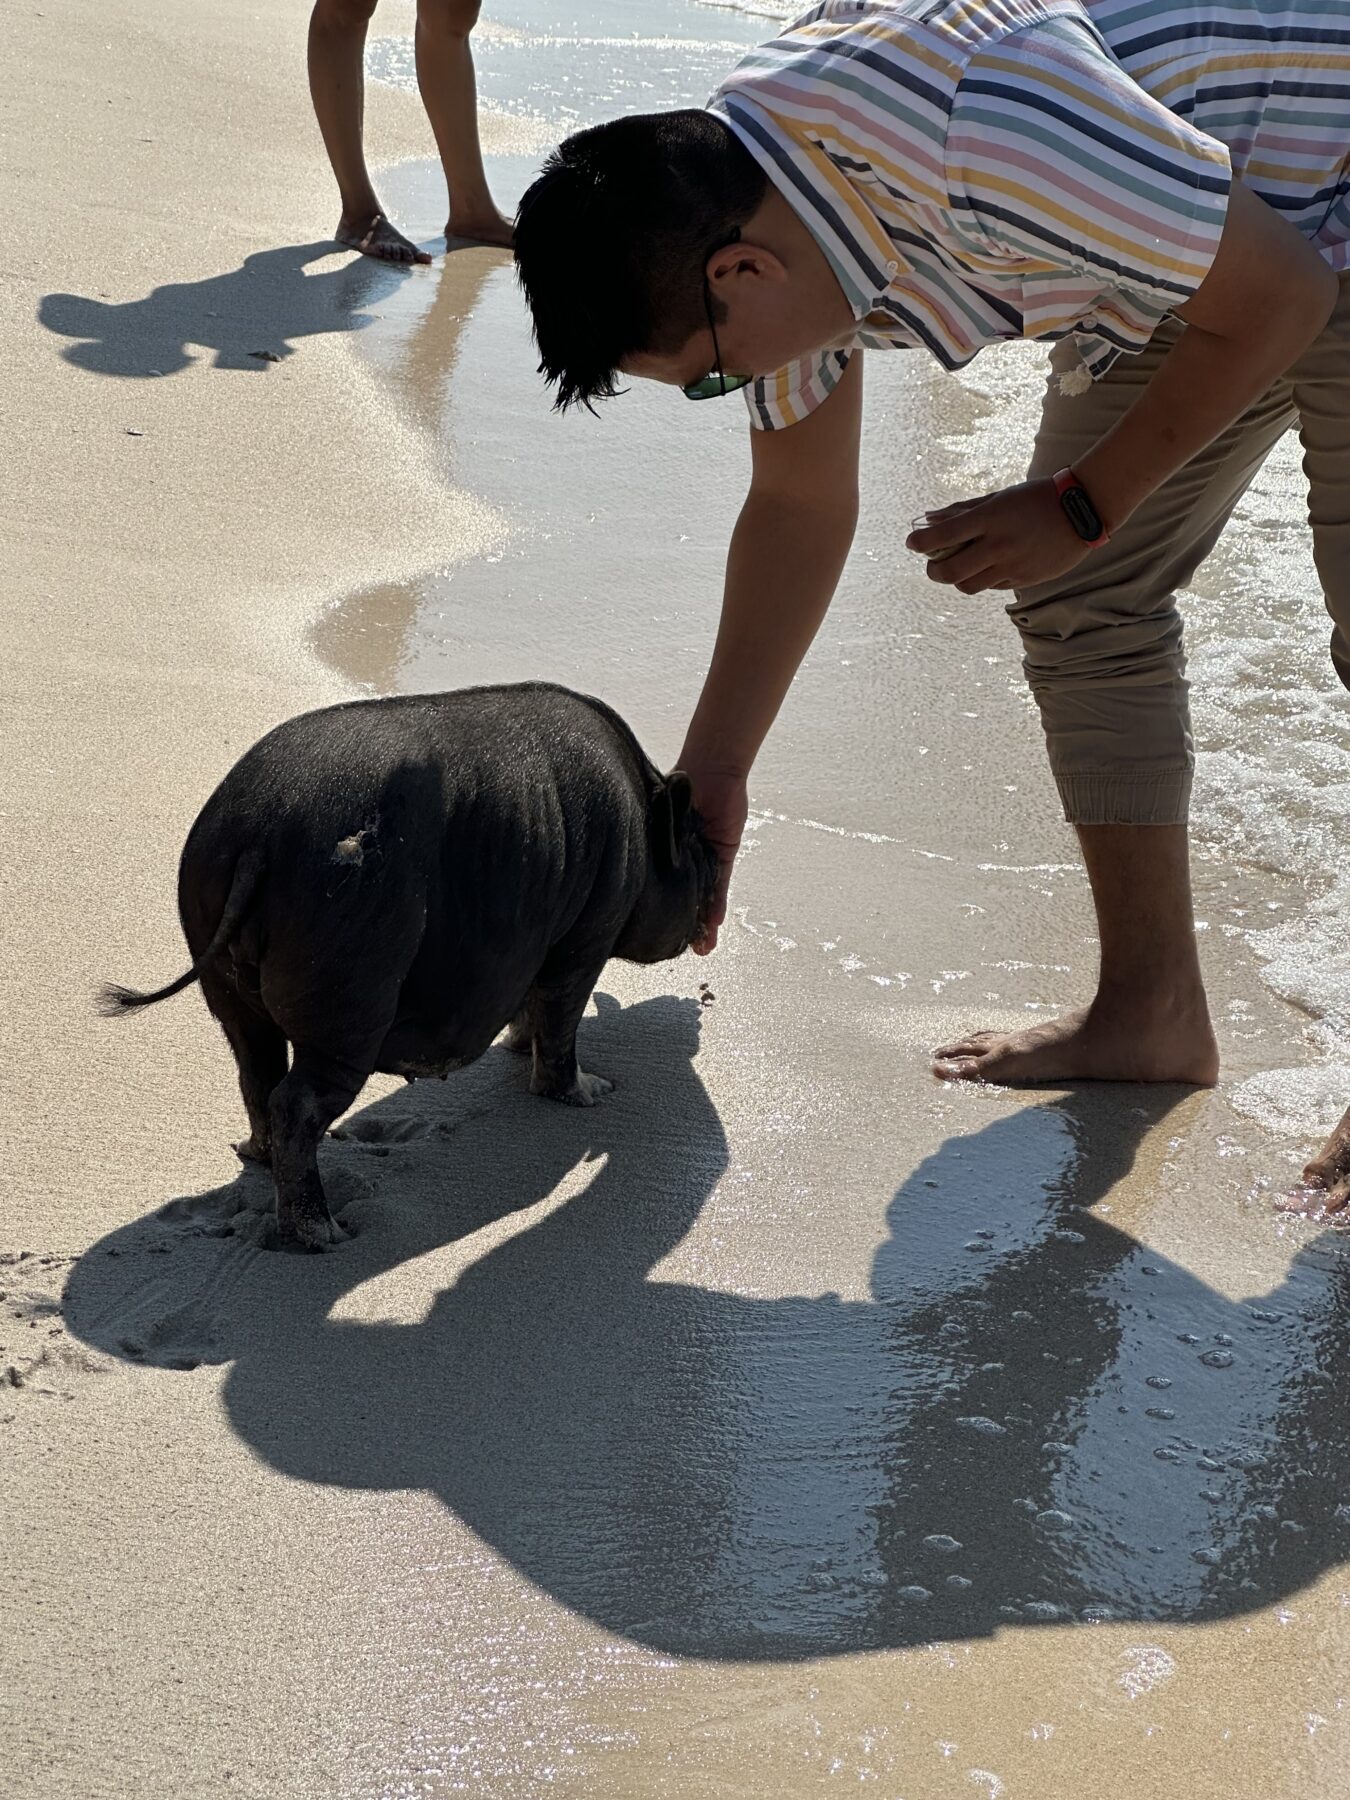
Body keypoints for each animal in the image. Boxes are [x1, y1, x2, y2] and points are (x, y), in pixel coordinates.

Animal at [101, 682, 718, 1250]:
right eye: (701, 852)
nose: (713, 910)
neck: (643, 824)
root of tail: (256, 836)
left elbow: (534, 1010)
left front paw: (519, 1048)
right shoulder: (586, 937)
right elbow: (562, 1020)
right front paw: (596, 1092)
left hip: (223, 976)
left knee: (255, 1071)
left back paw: (255, 1158)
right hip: (348, 992)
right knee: (296, 1103)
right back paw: (327, 1235)